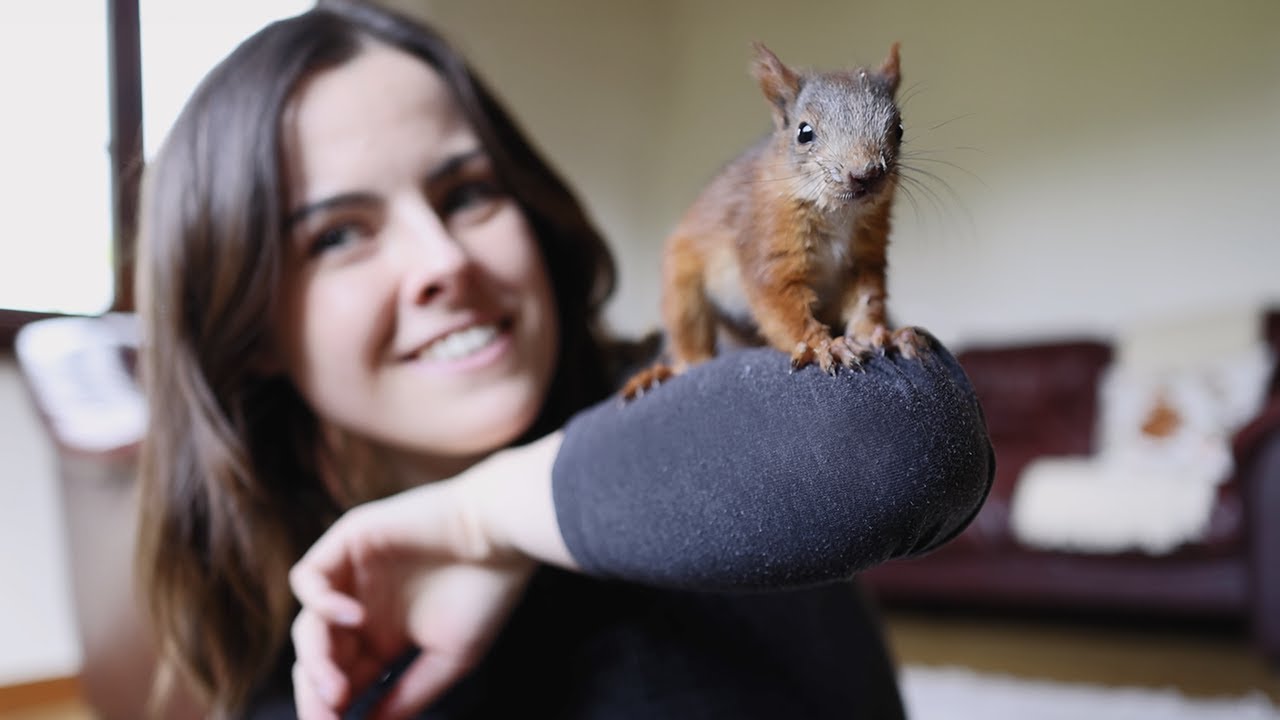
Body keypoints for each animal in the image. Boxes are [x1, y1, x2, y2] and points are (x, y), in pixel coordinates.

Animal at [622, 42, 928, 400]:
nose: (865, 174)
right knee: (689, 341)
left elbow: (867, 300)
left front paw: (880, 335)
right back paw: (666, 370)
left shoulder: (865, 257)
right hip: (682, 291)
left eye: (899, 128)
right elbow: (783, 307)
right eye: (804, 132)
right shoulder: (768, 243)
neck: (839, 213)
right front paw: (823, 346)